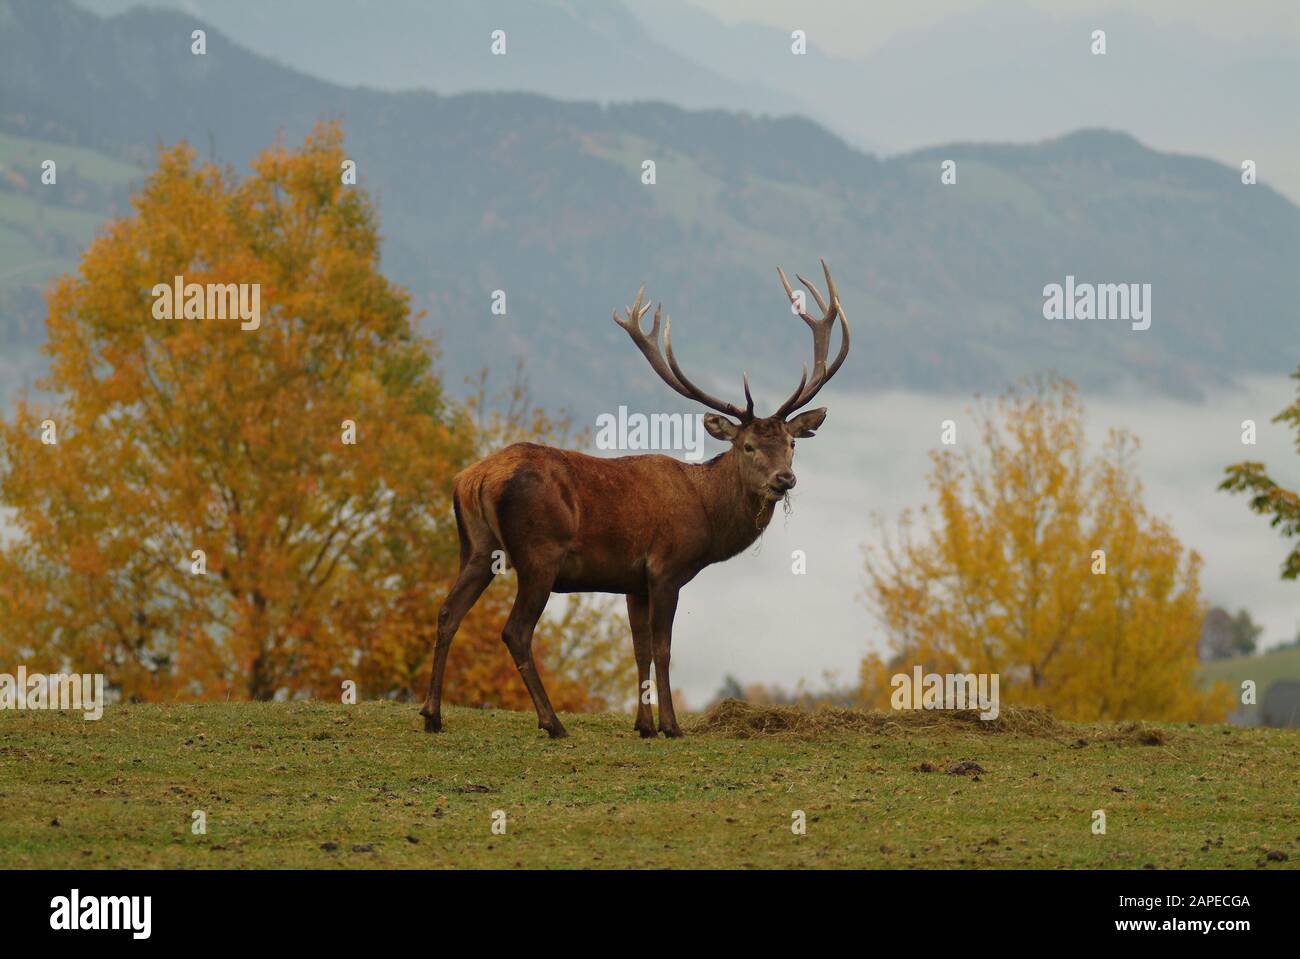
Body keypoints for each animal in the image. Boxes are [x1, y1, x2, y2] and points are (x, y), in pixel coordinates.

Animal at [419, 260, 850, 738]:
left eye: (791, 444)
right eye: (748, 446)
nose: (784, 479)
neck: (706, 514)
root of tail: (473, 478)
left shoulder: (631, 581)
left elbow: (638, 647)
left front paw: (643, 725)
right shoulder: (665, 568)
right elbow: (663, 648)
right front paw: (671, 725)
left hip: (476, 547)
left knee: (447, 612)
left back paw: (432, 714)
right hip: (539, 553)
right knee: (515, 631)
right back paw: (551, 722)